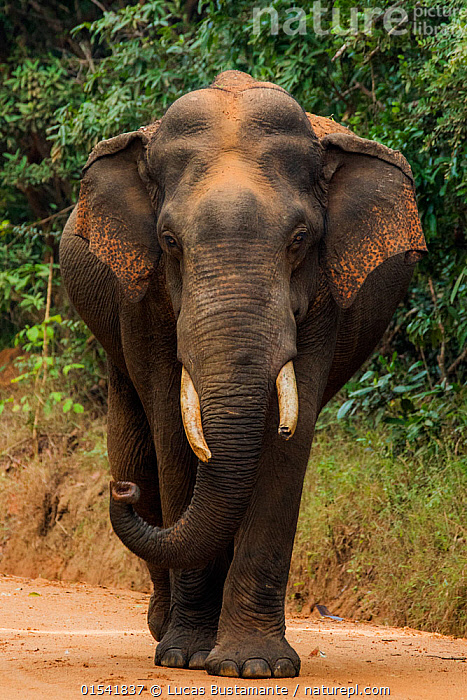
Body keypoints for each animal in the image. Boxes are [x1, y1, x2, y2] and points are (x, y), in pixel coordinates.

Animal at [60, 70, 426, 679]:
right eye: (169, 242)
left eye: (300, 240)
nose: (119, 493)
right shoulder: (146, 297)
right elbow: (173, 433)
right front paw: (186, 656)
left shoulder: (322, 297)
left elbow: (288, 440)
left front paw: (253, 667)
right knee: (134, 442)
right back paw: (163, 625)